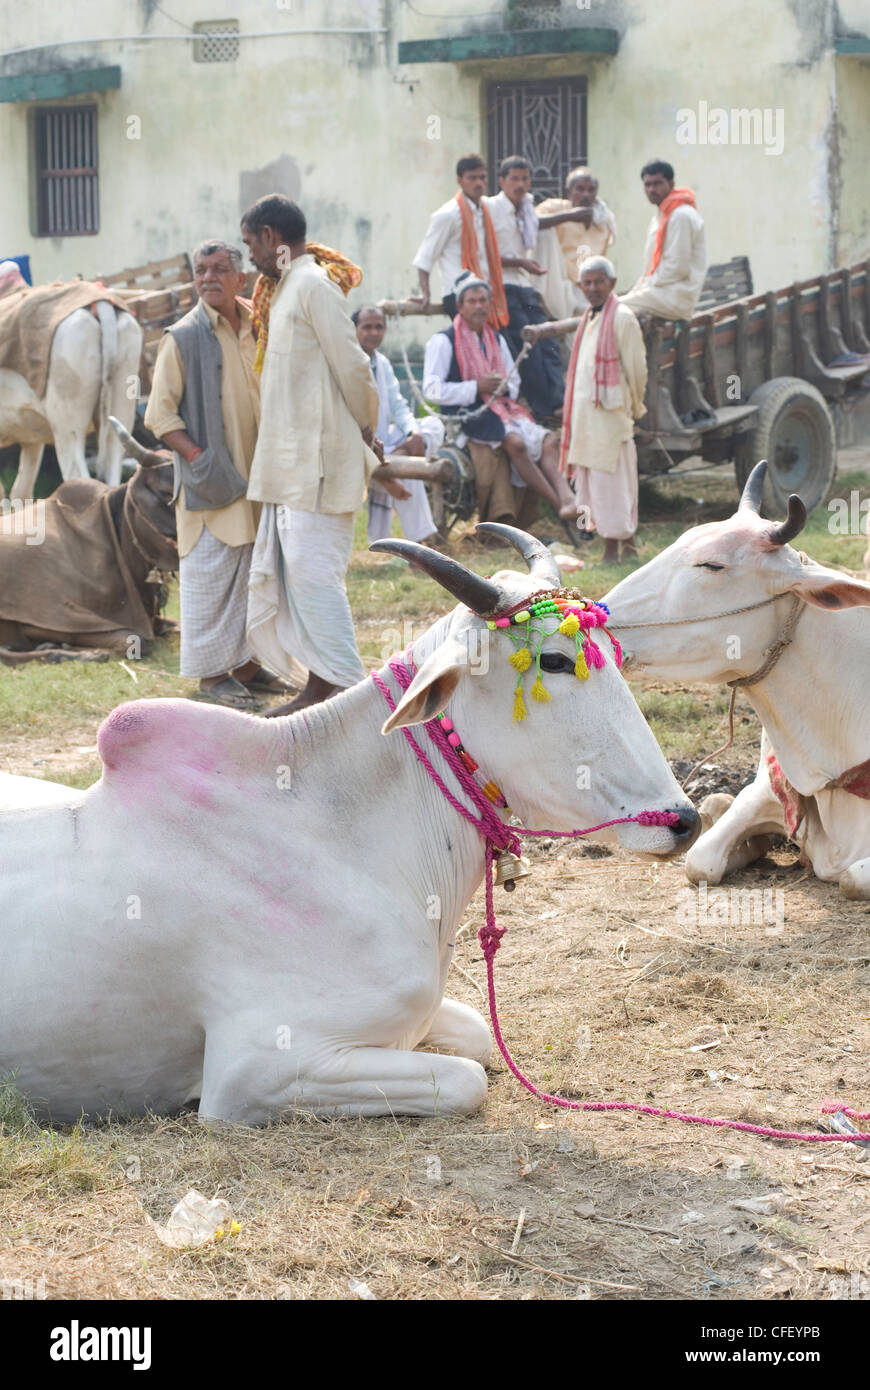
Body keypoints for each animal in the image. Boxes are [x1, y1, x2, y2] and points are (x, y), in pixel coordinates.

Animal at [0, 527, 699, 1126]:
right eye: (552, 661)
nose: (684, 821)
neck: (338, 839)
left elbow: (477, 1037)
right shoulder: (254, 1071)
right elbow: (468, 1080)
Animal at [605, 461, 870, 900]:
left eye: (713, 565)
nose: (591, 616)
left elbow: (852, 879)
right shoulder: (766, 787)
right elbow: (700, 861)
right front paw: (751, 846)